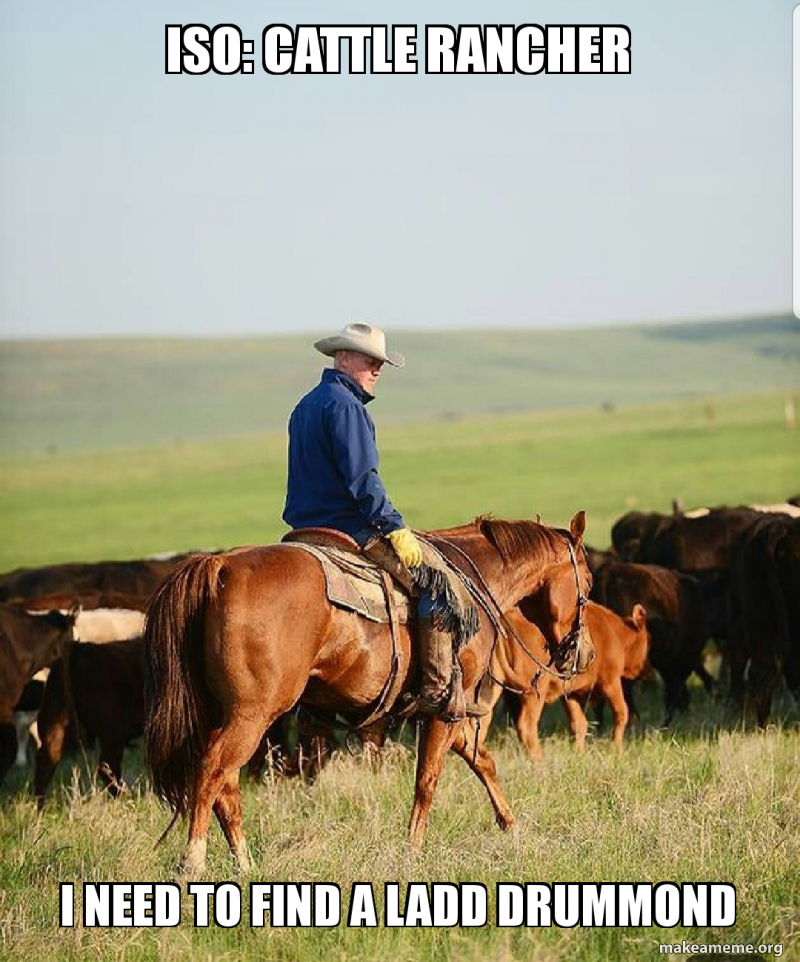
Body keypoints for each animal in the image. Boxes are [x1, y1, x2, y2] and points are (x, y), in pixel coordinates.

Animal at [34, 637, 144, 805]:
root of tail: (78, 649)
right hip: (112, 734)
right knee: (107, 767)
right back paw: (125, 798)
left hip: (54, 723)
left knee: (45, 763)